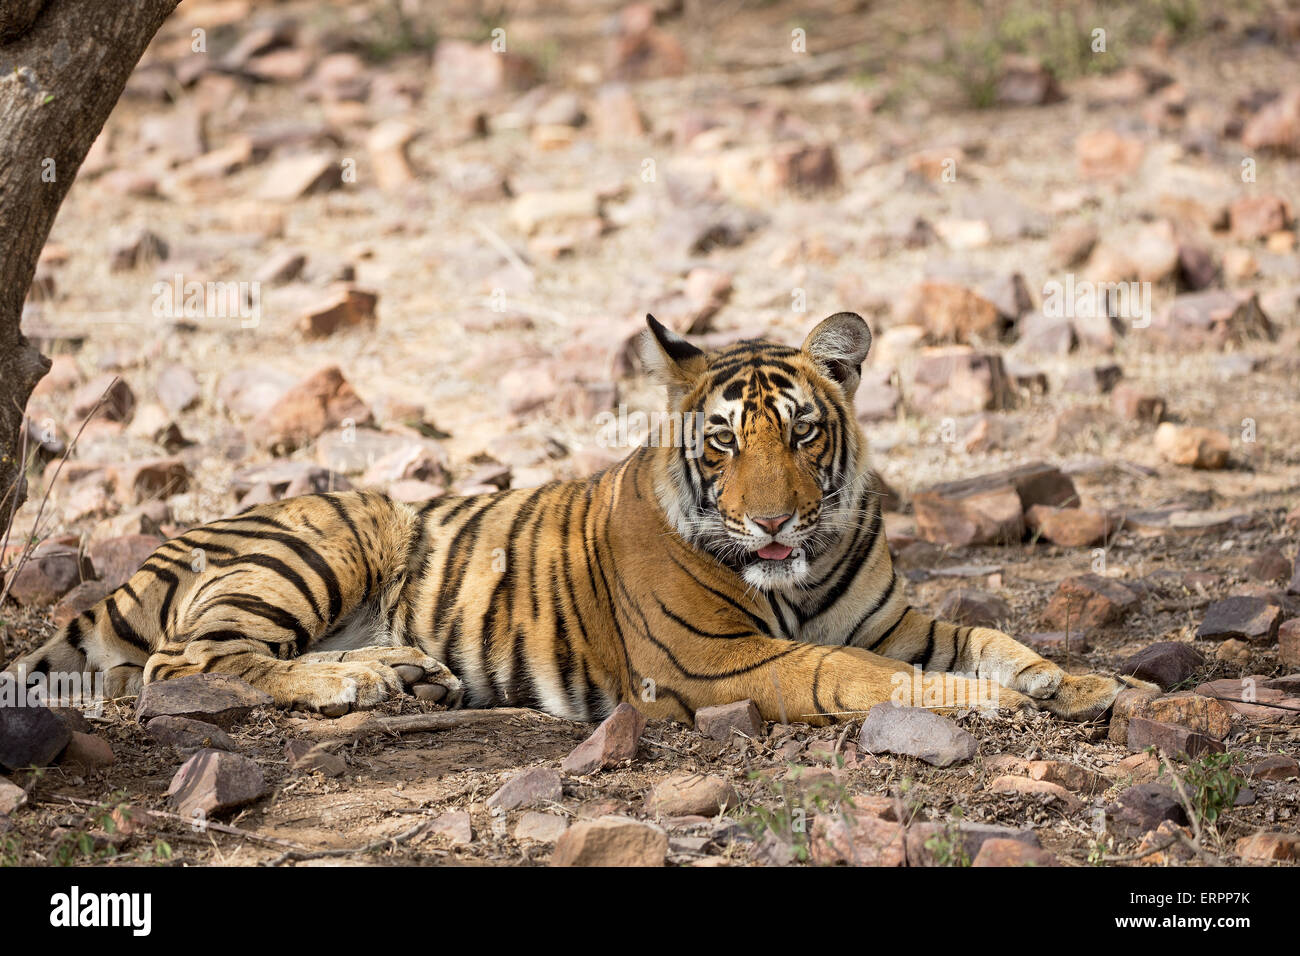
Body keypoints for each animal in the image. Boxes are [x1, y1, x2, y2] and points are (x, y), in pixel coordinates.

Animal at [8, 312, 1150, 726]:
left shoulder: (893, 619)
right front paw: (977, 703)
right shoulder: (719, 662)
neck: (804, 575)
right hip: (331, 536)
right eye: (724, 441)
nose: (773, 525)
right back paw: (355, 680)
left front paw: (1107, 686)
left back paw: (400, 672)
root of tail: (177, 538)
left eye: (802, 432)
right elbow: (857, 675)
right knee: (186, 662)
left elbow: (1002, 640)